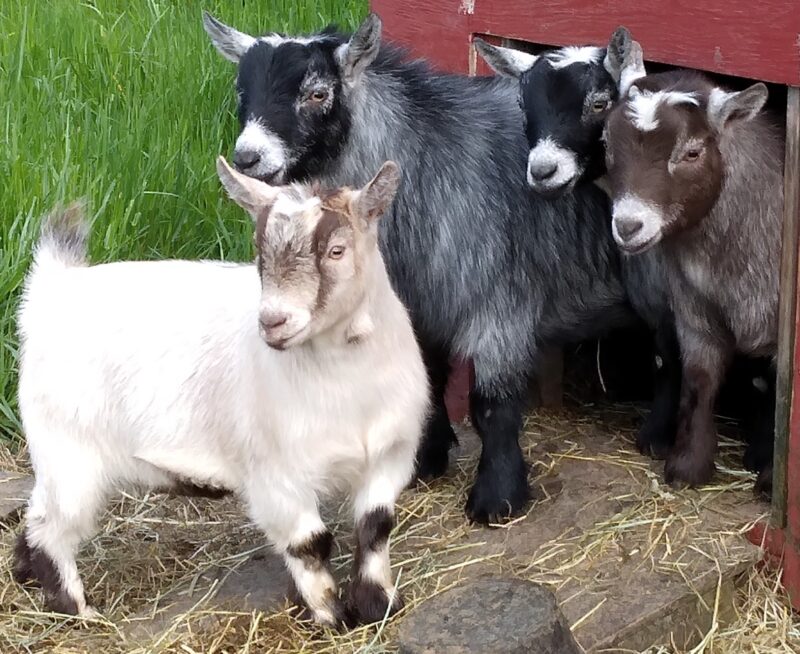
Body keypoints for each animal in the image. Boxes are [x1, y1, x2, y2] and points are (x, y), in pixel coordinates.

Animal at [13, 158, 428, 627]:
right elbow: (309, 543)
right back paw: (78, 609)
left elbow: (376, 527)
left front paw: (379, 605)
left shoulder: (391, 453)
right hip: (68, 451)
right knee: (54, 524)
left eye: (336, 250)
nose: (273, 321)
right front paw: (329, 615)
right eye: (259, 251)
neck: (349, 389)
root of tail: (52, 293)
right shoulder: (276, 475)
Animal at [204, 12, 647, 524]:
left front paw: (497, 498)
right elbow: (428, 380)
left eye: (316, 93)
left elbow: (492, 404)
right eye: (242, 91)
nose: (248, 158)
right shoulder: (419, 302)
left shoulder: (502, 303)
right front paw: (423, 461)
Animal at [602, 43, 782, 491]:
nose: (628, 225)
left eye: (692, 152)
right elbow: (698, 379)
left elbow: (776, 387)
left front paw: (770, 473)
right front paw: (688, 465)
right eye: (607, 144)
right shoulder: (693, 310)